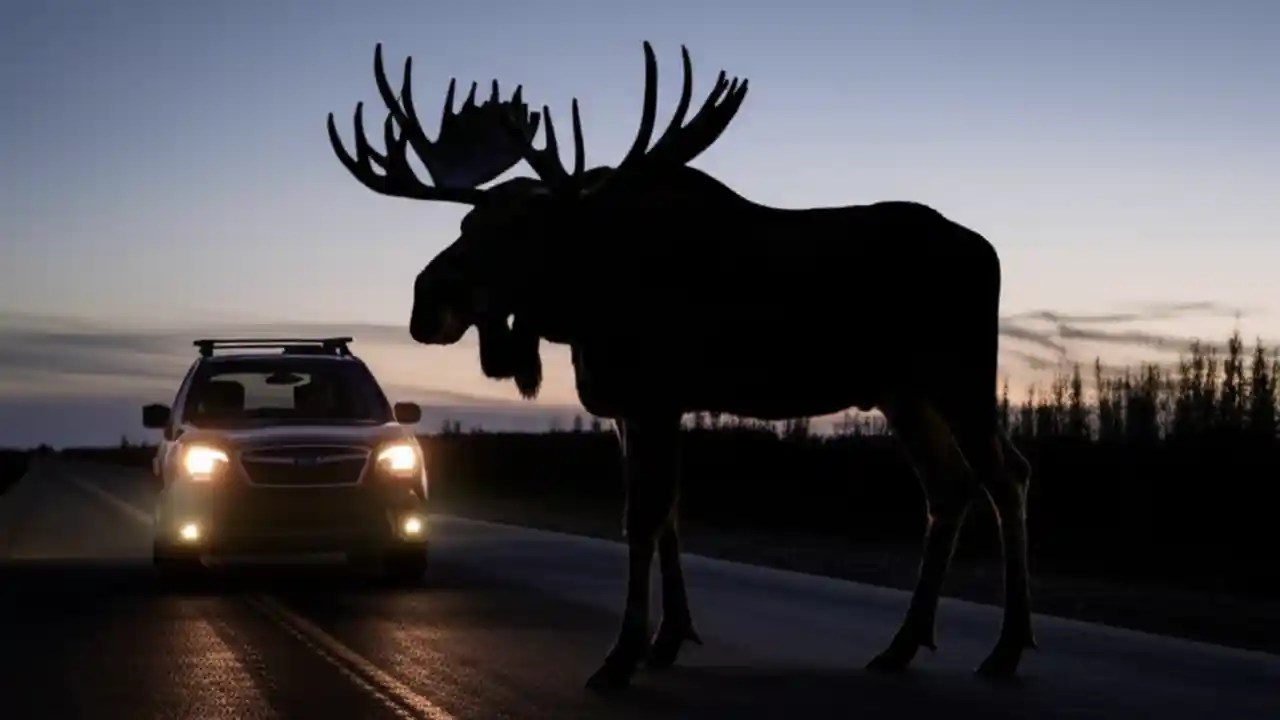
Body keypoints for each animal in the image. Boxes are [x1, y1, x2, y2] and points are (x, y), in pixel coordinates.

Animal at [327, 41, 1037, 691]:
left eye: (521, 228)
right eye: (467, 222)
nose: (426, 302)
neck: (582, 305)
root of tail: (989, 251)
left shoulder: (655, 397)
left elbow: (642, 518)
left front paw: (621, 654)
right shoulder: (626, 406)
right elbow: (665, 514)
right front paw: (667, 637)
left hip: (960, 374)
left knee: (1006, 477)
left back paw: (1006, 649)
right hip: (903, 391)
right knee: (949, 487)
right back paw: (903, 644)